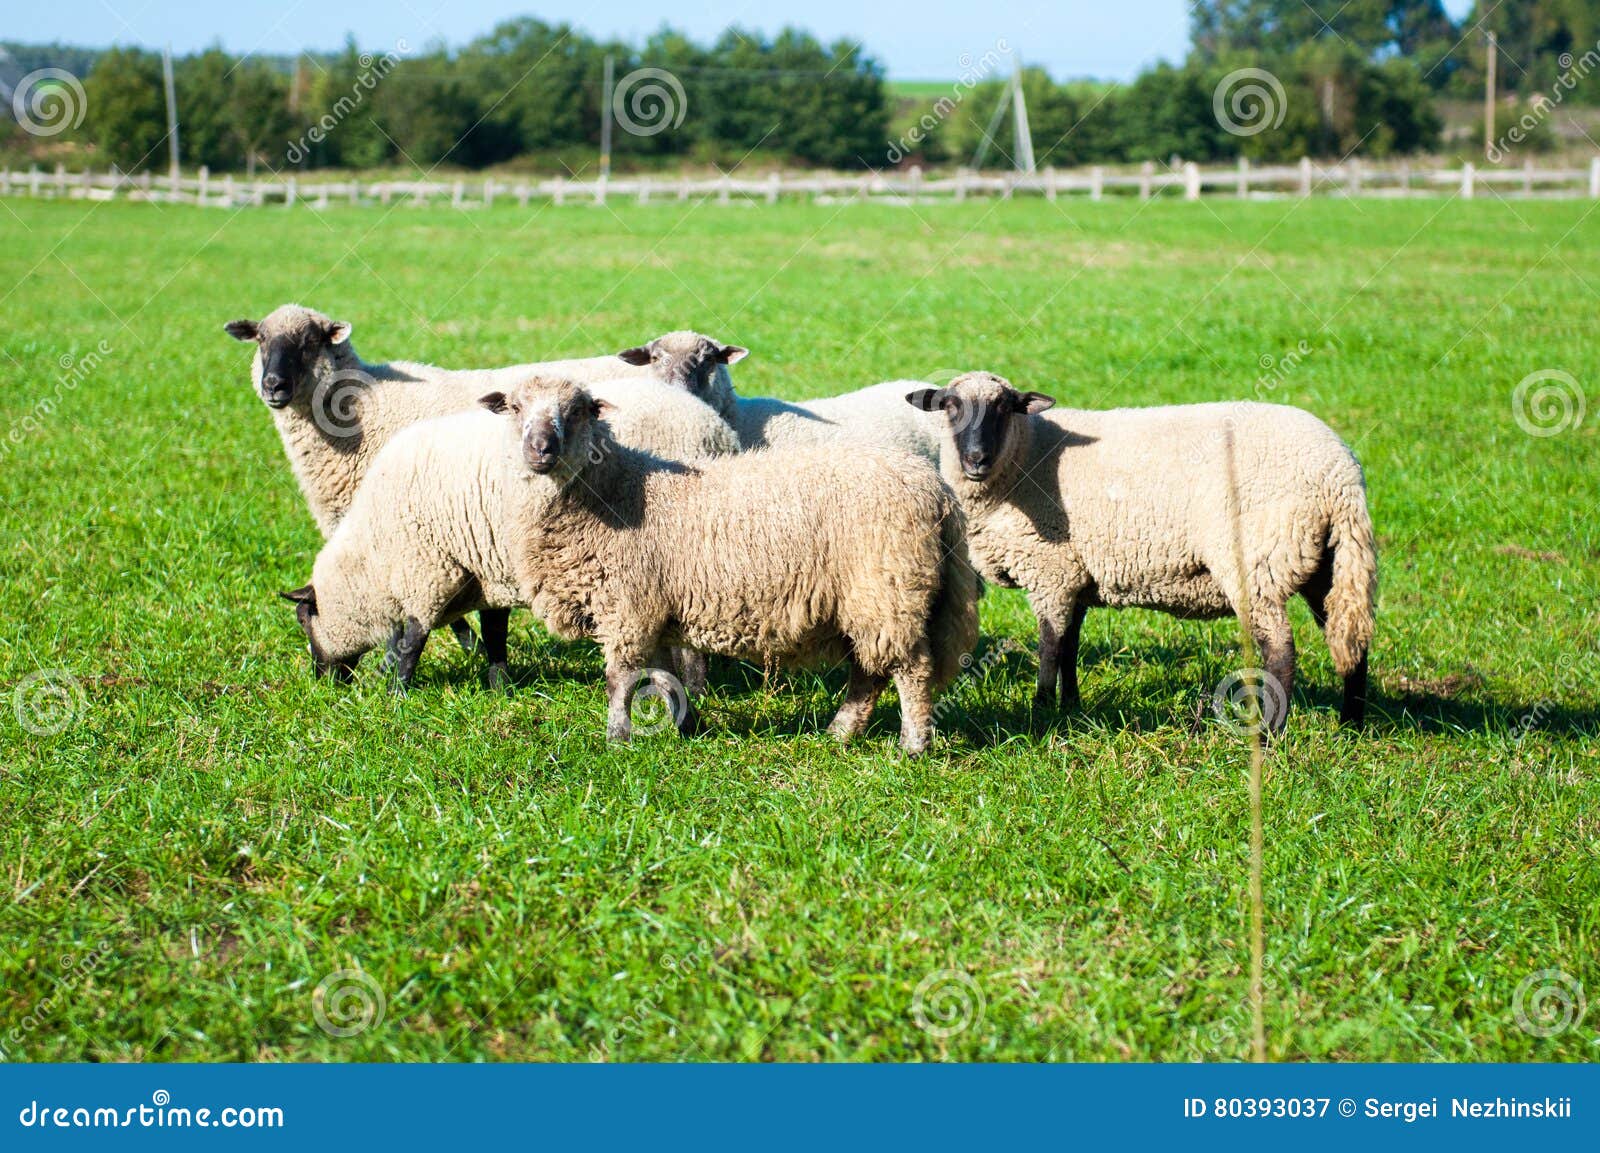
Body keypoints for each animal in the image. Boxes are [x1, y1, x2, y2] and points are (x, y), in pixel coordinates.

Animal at [226, 304, 743, 680]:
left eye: (309, 341)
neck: (361, 410)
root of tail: (708, 423)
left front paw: (401, 664)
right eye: (261, 340)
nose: (273, 385)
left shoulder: (410, 534)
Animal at [484, 376, 981, 754]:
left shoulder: (628, 608)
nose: (541, 448)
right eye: (514, 407)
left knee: (911, 670)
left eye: (578, 411)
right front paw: (686, 727)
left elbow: (620, 681)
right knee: (869, 672)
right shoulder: (654, 612)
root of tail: (933, 486)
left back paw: (912, 746)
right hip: (864, 600)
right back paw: (839, 733)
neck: (617, 490)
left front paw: (617, 741)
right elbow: (664, 676)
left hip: (889, 590)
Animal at [905, 372, 1376, 732]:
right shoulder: (1077, 572)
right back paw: (1350, 724)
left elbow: (1049, 647)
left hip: (1257, 560)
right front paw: (1070, 707)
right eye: (951, 407)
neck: (1024, 457)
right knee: (1352, 641)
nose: (976, 459)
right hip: (1328, 562)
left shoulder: (1051, 571)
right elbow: (1070, 646)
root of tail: (1341, 473)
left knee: (1280, 649)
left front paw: (1040, 712)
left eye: (1005, 408)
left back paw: (1270, 731)